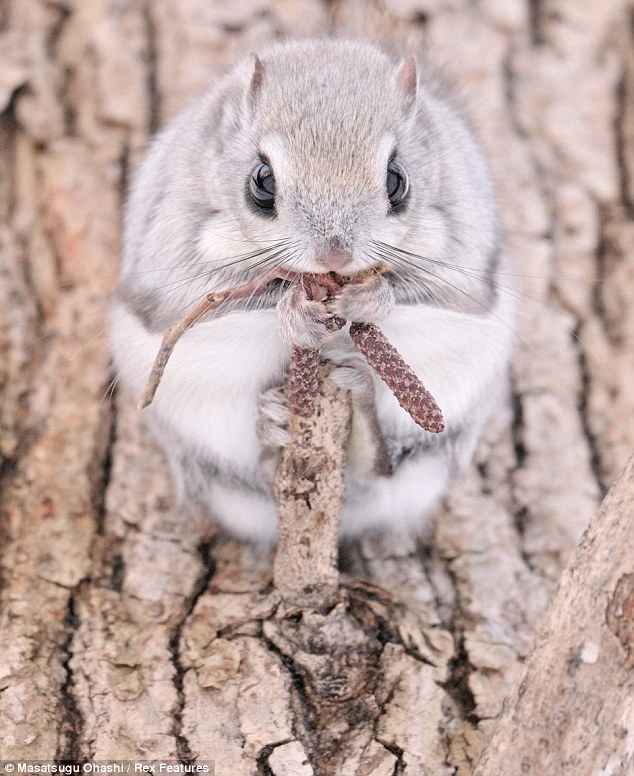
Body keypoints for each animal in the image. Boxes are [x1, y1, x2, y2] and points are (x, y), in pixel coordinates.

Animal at [110, 38, 515, 543]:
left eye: (397, 179)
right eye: (262, 180)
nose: (334, 255)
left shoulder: (461, 250)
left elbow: (421, 287)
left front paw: (370, 298)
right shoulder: (176, 247)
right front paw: (293, 312)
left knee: (381, 468)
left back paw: (359, 400)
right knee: (263, 477)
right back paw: (271, 425)